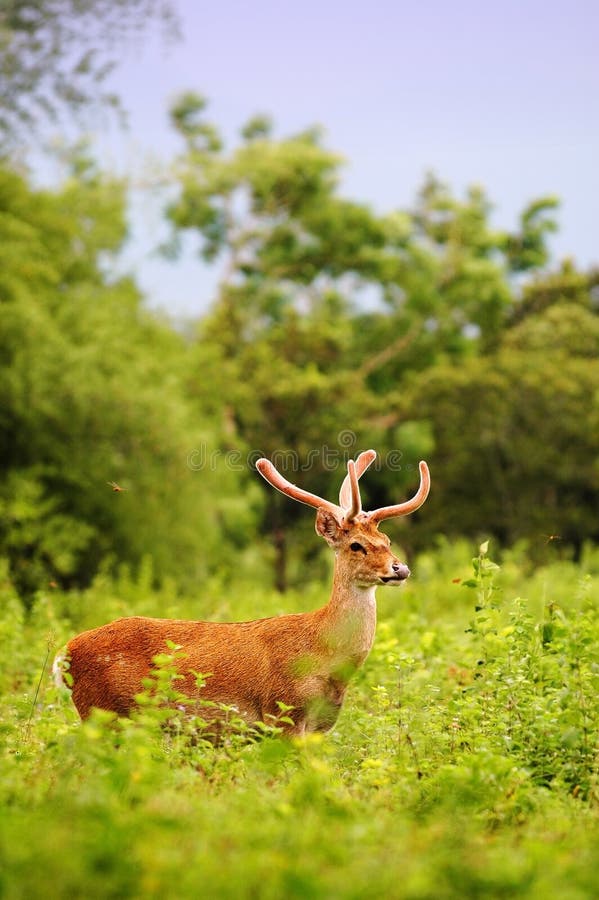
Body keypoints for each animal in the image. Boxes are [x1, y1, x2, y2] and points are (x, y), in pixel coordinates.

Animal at [54, 450, 430, 736]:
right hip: (106, 712)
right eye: (356, 545)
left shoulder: (320, 726)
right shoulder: (282, 710)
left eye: (387, 541)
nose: (400, 569)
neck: (324, 657)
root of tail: (64, 655)